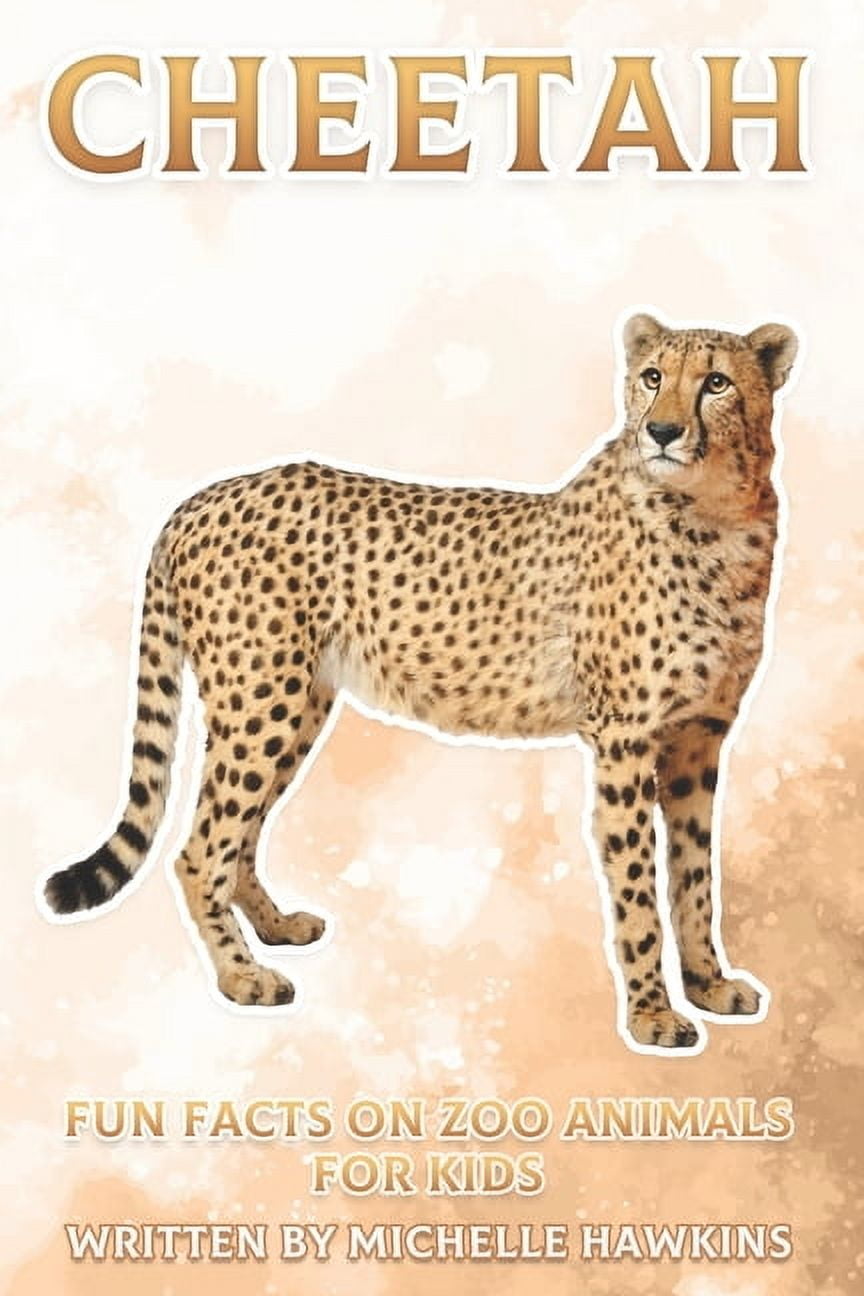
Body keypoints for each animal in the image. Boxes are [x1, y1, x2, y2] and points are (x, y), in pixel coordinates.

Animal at [44, 312, 798, 1049]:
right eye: (652, 377)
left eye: (717, 383)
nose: (662, 431)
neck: (716, 515)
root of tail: (204, 496)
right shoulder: (625, 740)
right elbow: (639, 886)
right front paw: (651, 1015)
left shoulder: (699, 740)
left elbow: (695, 876)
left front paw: (709, 984)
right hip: (260, 703)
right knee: (201, 850)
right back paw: (242, 976)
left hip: (296, 704)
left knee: (238, 838)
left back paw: (276, 927)